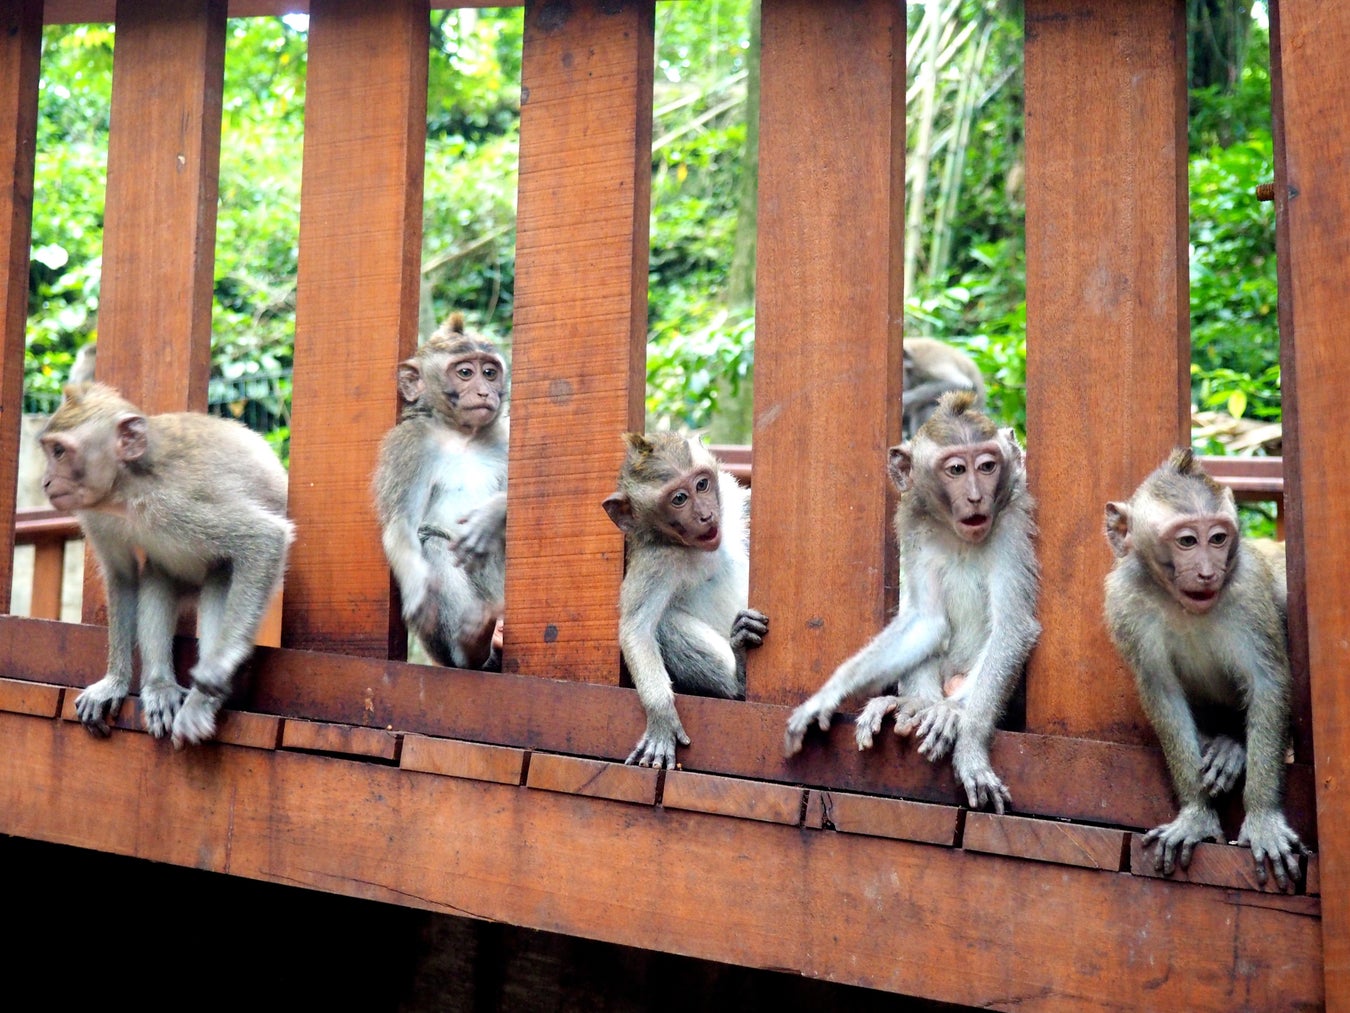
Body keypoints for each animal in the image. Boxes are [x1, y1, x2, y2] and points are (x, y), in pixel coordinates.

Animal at [38, 383, 293, 746]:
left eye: (59, 452)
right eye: (49, 450)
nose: (46, 481)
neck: (127, 491)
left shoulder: (173, 504)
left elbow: (264, 538)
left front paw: (218, 665)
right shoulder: (96, 513)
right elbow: (124, 576)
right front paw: (114, 682)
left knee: (221, 576)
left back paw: (201, 701)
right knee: (157, 576)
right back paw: (160, 685)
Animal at [372, 313, 509, 670]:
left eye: (490, 372)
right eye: (465, 373)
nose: (484, 392)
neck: (462, 435)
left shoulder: (504, 440)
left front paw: (491, 515)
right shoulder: (408, 446)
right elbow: (402, 525)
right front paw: (418, 589)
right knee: (434, 541)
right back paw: (474, 647)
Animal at [602, 432, 768, 768]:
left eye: (701, 484)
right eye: (679, 499)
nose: (705, 515)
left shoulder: (730, 498)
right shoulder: (657, 560)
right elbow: (636, 630)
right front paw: (661, 714)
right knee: (665, 624)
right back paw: (741, 672)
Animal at [785, 391, 1039, 814]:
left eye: (987, 466)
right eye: (956, 469)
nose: (976, 496)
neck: (958, 535)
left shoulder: (1012, 528)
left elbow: (1013, 627)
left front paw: (968, 740)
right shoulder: (915, 526)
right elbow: (925, 621)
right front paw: (829, 693)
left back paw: (948, 711)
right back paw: (913, 704)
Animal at [1103, 448, 1305, 889]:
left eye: (1218, 538)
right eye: (1186, 541)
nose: (1208, 571)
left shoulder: (1247, 588)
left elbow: (1268, 683)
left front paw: (1262, 817)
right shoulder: (1125, 600)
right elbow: (1163, 693)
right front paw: (1195, 814)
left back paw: (1234, 749)